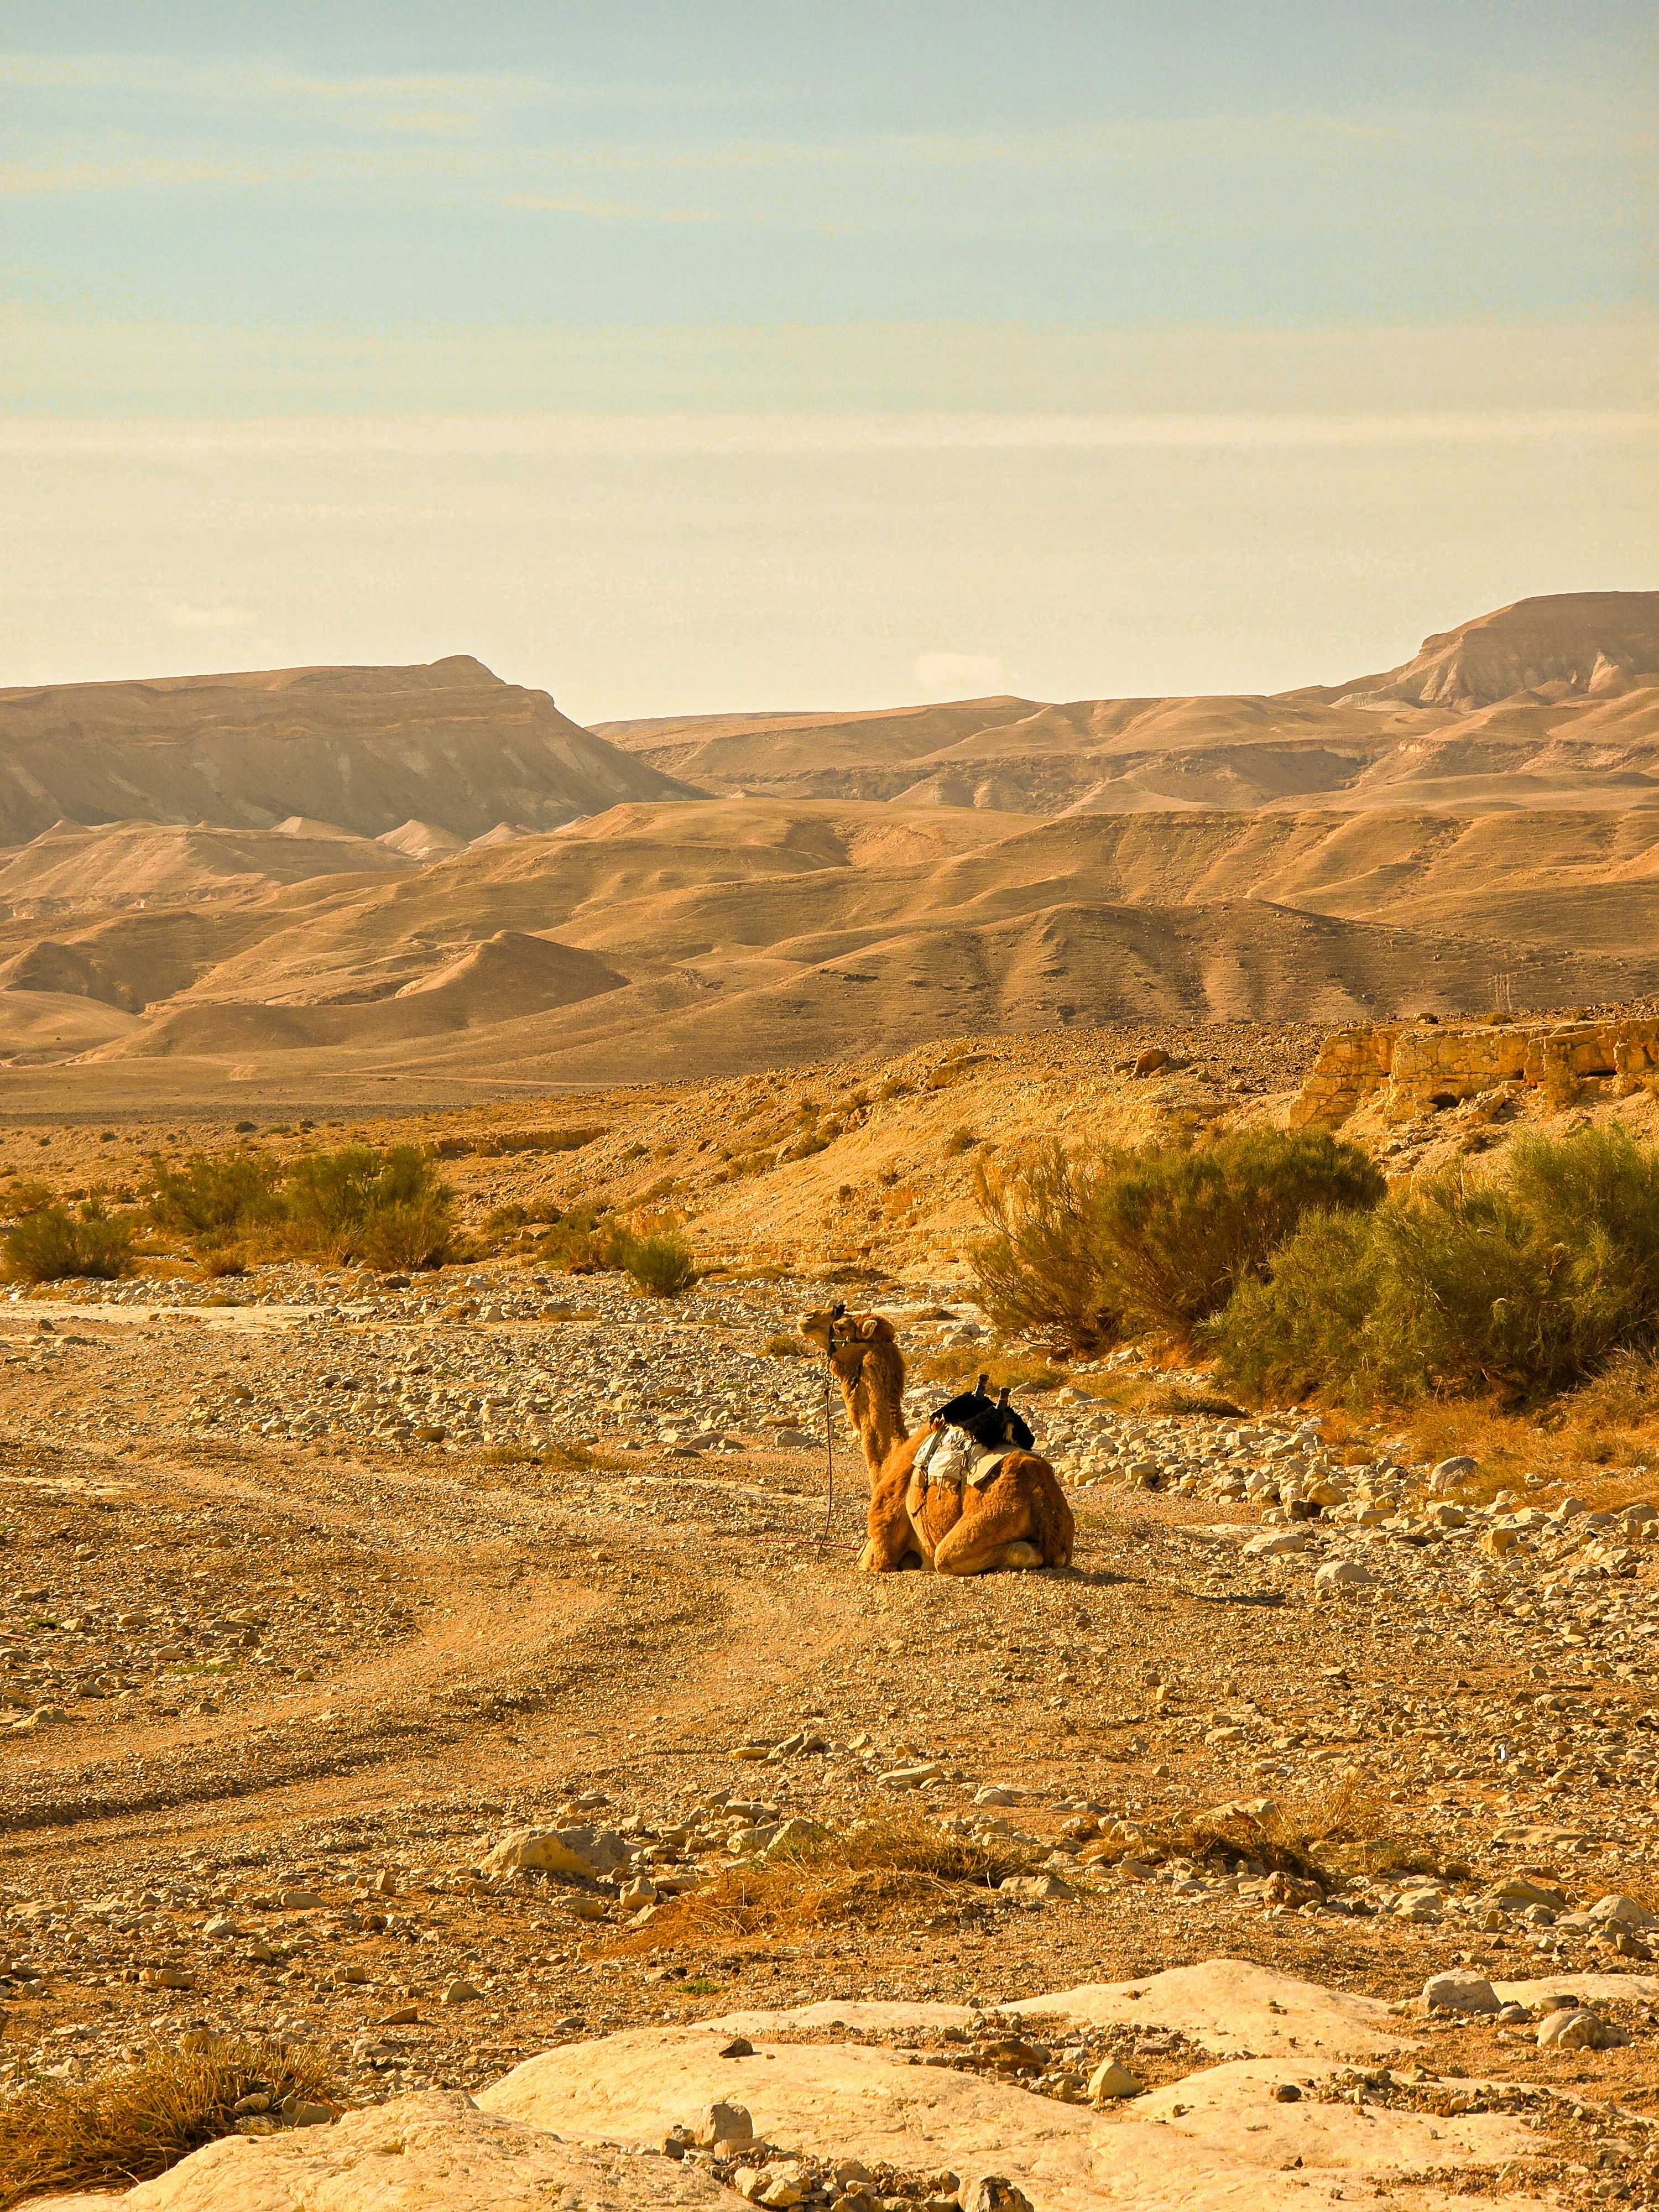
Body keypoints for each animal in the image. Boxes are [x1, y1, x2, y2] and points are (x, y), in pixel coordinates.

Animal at [799, 1306, 1074, 1575]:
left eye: (841, 1326)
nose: (807, 1317)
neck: (891, 1458)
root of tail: (1045, 1504)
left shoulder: (880, 1546)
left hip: (978, 1526)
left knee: (985, 1554)